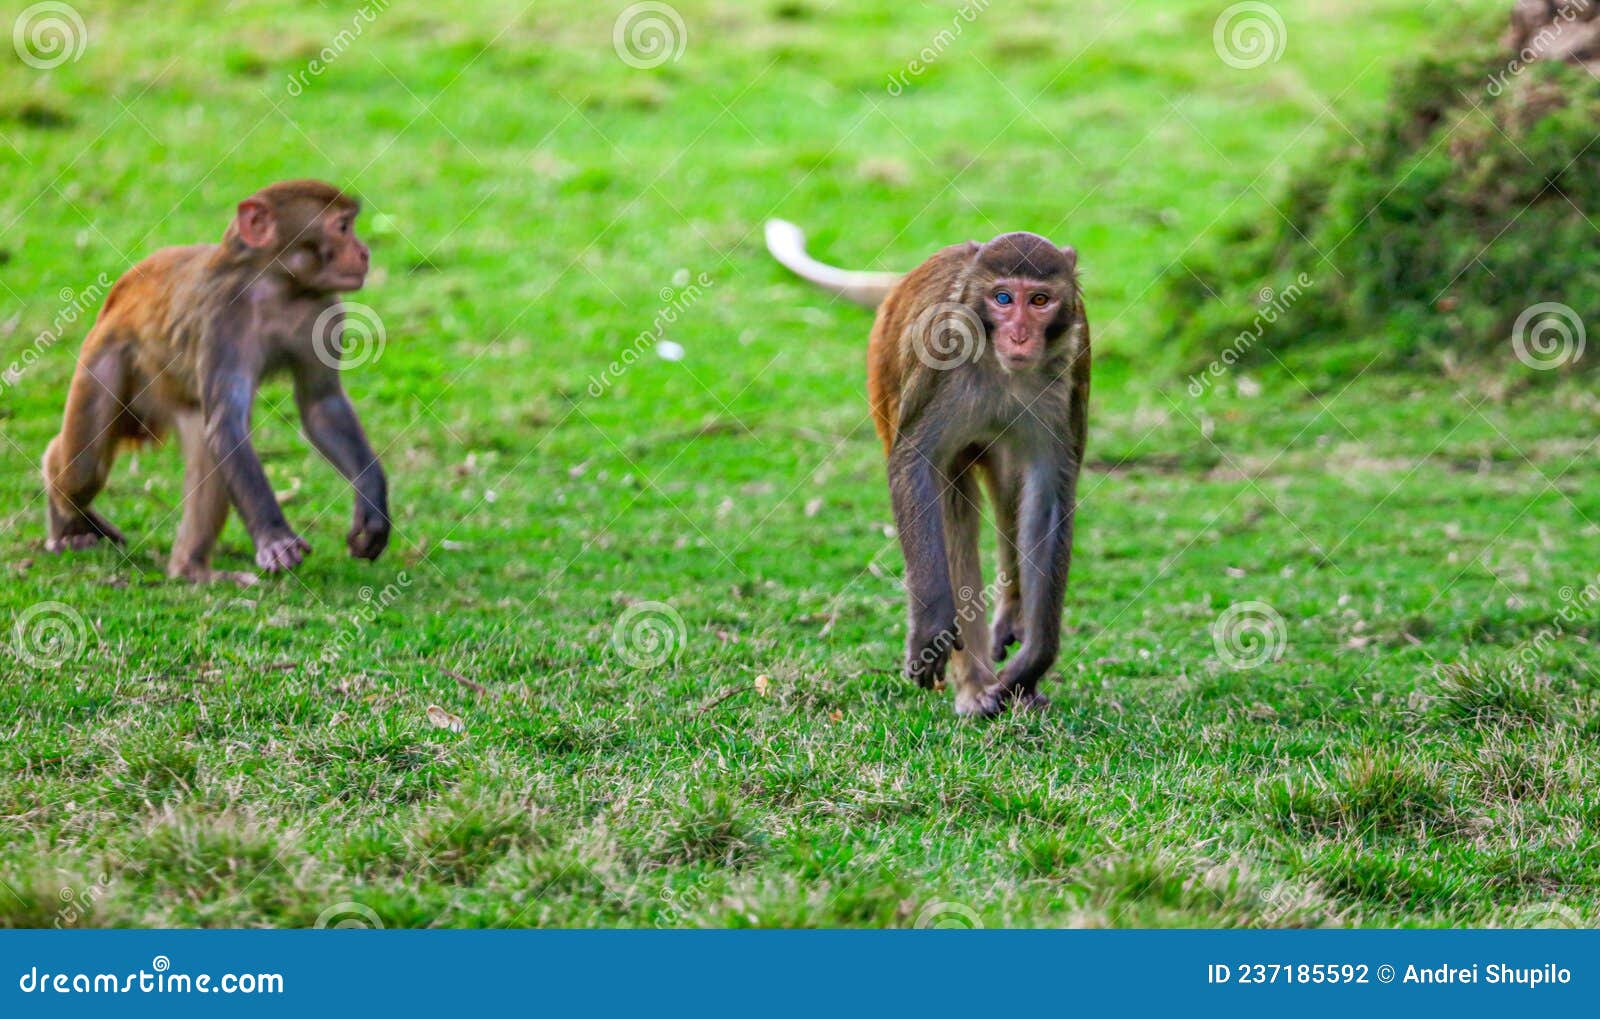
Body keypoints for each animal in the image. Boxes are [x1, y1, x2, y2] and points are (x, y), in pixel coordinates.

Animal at [42, 179, 389, 584]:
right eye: (343, 227)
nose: (364, 252)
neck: (278, 286)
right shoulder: (221, 318)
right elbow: (228, 424)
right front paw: (274, 537)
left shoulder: (325, 310)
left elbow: (322, 406)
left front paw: (372, 506)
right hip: (103, 358)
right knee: (83, 470)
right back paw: (65, 517)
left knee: (205, 448)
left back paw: (190, 569)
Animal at [766, 220, 1089, 717]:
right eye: (1003, 298)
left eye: (1039, 300)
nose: (1019, 336)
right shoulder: (943, 350)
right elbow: (915, 464)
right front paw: (933, 631)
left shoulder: (1071, 363)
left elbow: (1050, 491)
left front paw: (1035, 658)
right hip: (883, 380)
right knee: (952, 498)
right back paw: (974, 687)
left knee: (1009, 489)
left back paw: (1014, 629)